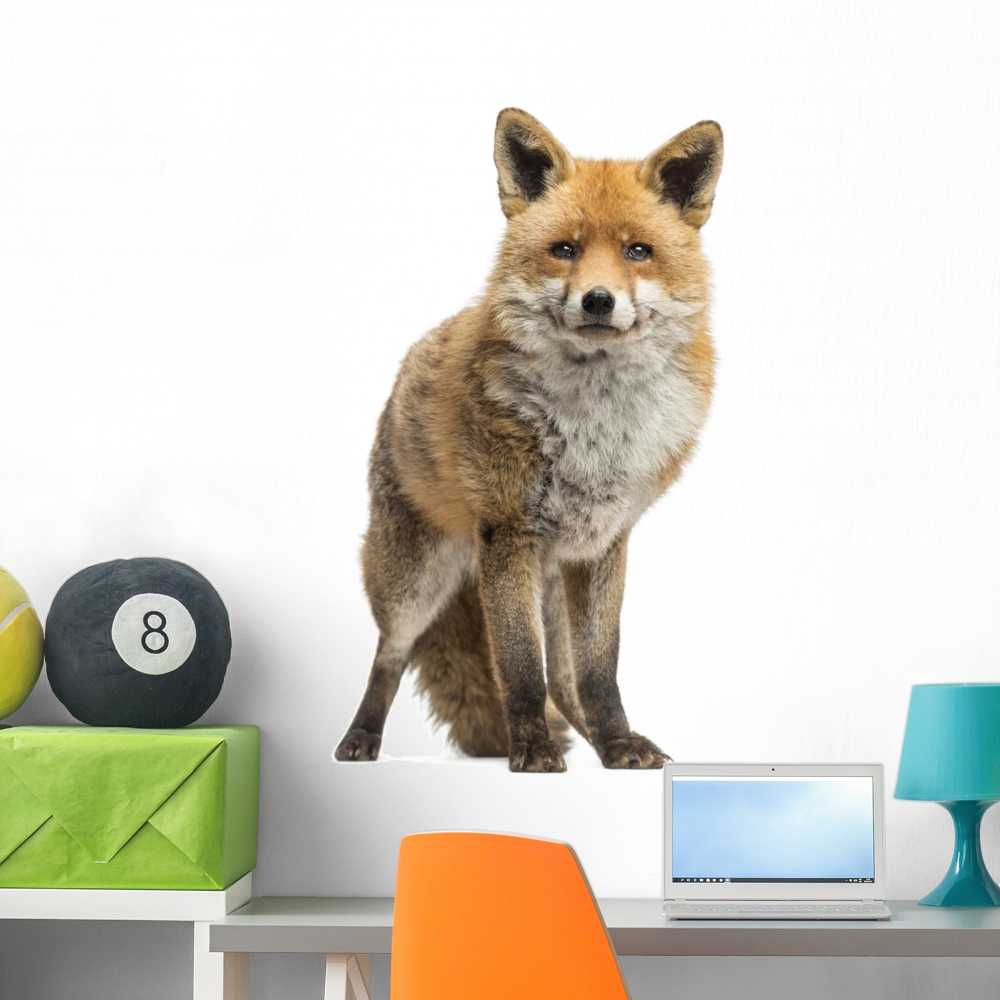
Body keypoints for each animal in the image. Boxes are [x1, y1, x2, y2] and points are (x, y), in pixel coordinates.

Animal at [335, 109, 722, 772]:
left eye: (637, 252)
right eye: (564, 250)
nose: (599, 300)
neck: (596, 428)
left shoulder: (602, 543)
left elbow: (598, 672)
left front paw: (618, 743)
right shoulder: (508, 532)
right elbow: (519, 668)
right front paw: (532, 750)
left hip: (548, 580)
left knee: (564, 683)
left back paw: (600, 741)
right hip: (417, 578)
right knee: (390, 655)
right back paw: (360, 738)